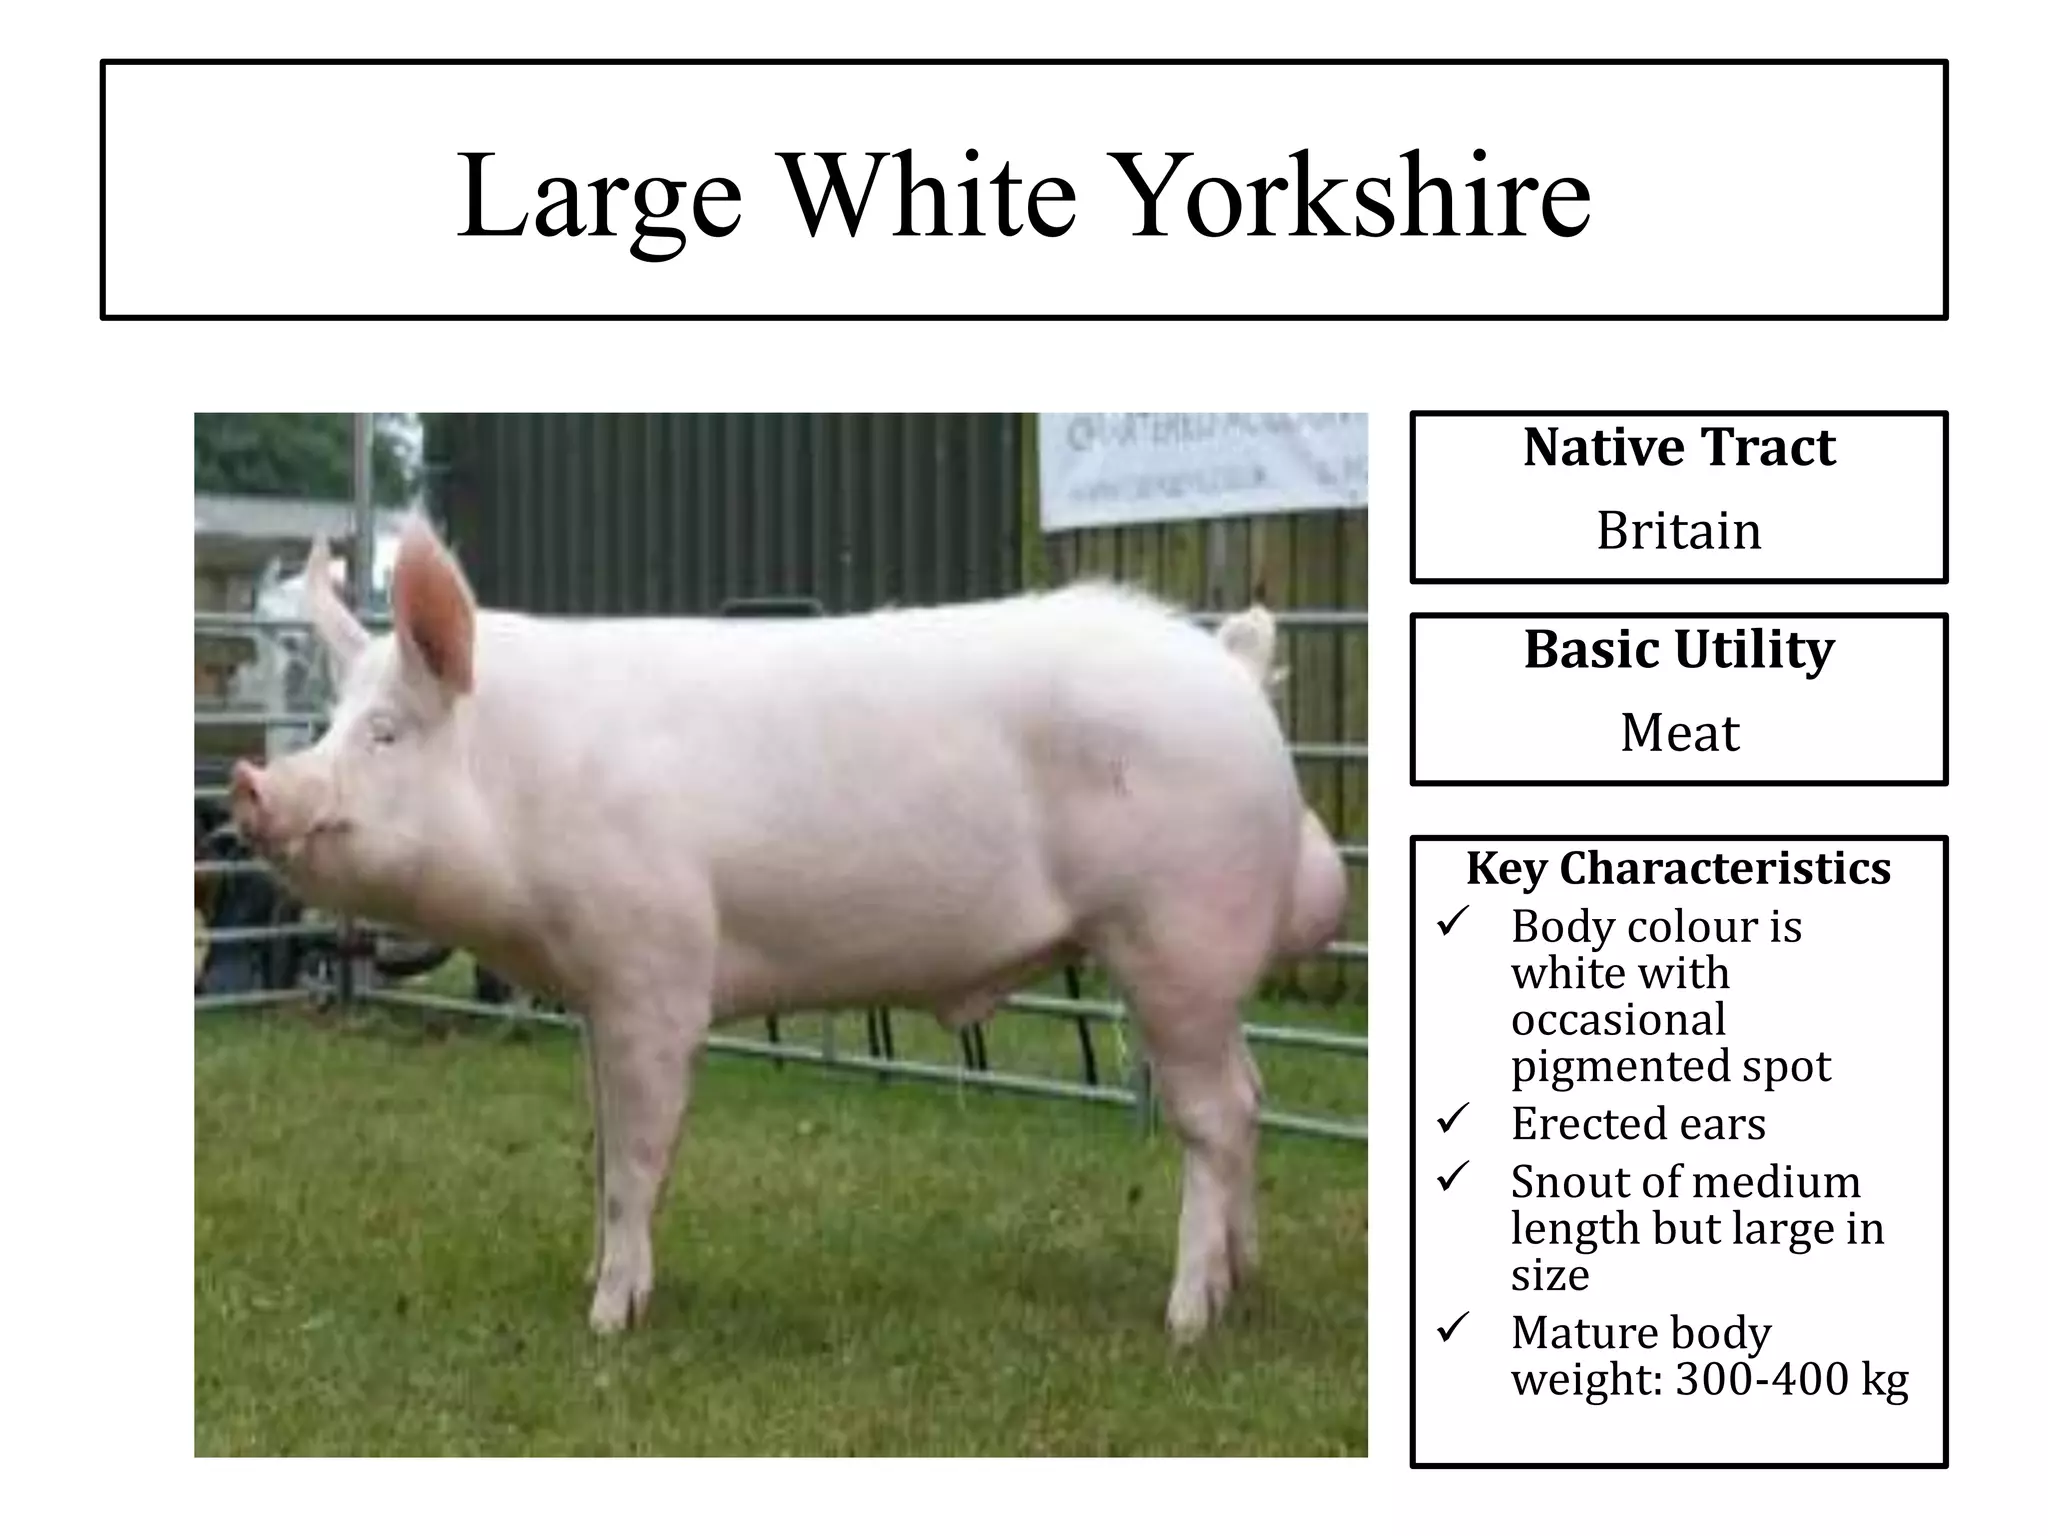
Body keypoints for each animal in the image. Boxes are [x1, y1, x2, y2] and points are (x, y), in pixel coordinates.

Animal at [231, 515, 1348, 1339]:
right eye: (329, 726)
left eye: (386, 734)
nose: (252, 784)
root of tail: (1235, 672)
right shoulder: (596, 985)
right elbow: (600, 1144)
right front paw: (589, 1280)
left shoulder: (654, 969)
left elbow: (636, 1157)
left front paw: (607, 1322)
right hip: (1200, 969)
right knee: (1250, 1096)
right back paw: (1243, 1285)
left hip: (1175, 934)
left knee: (1215, 1116)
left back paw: (1186, 1320)